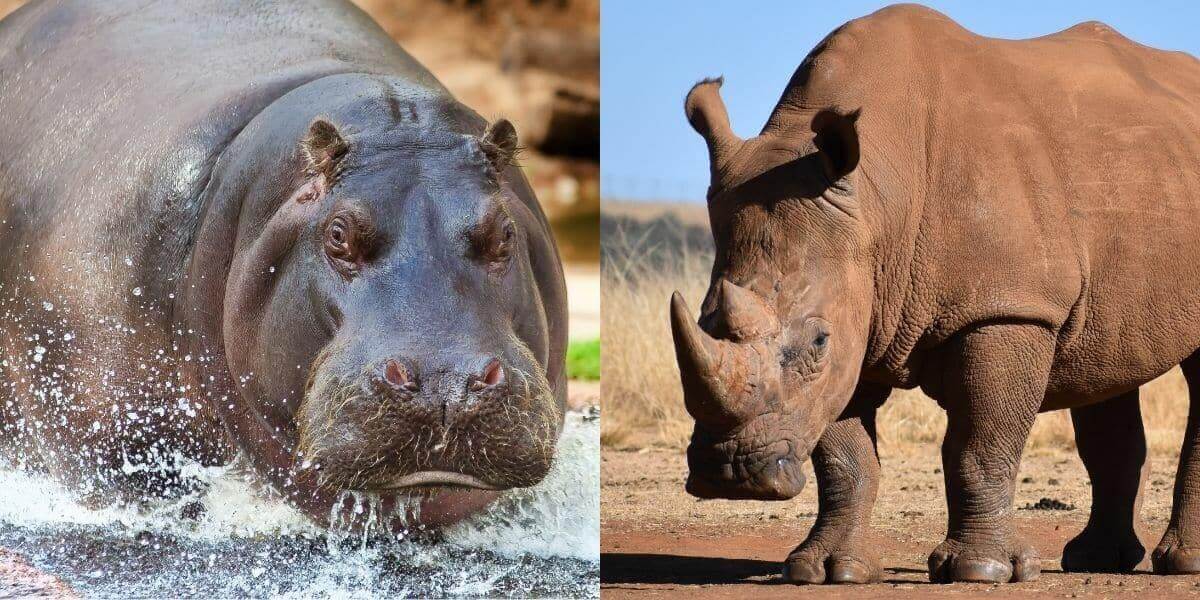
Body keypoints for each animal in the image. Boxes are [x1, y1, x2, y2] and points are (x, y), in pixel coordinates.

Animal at [672, 4, 1200, 584]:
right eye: (705, 320)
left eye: (817, 342)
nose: (728, 472)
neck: (878, 199)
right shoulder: (861, 303)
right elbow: (844, 457)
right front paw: (829, 571)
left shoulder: (1005, 307)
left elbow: (979, 445)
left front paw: (979, 571)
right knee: (1103, 363)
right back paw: (1096, 559)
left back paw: (1181, 563)